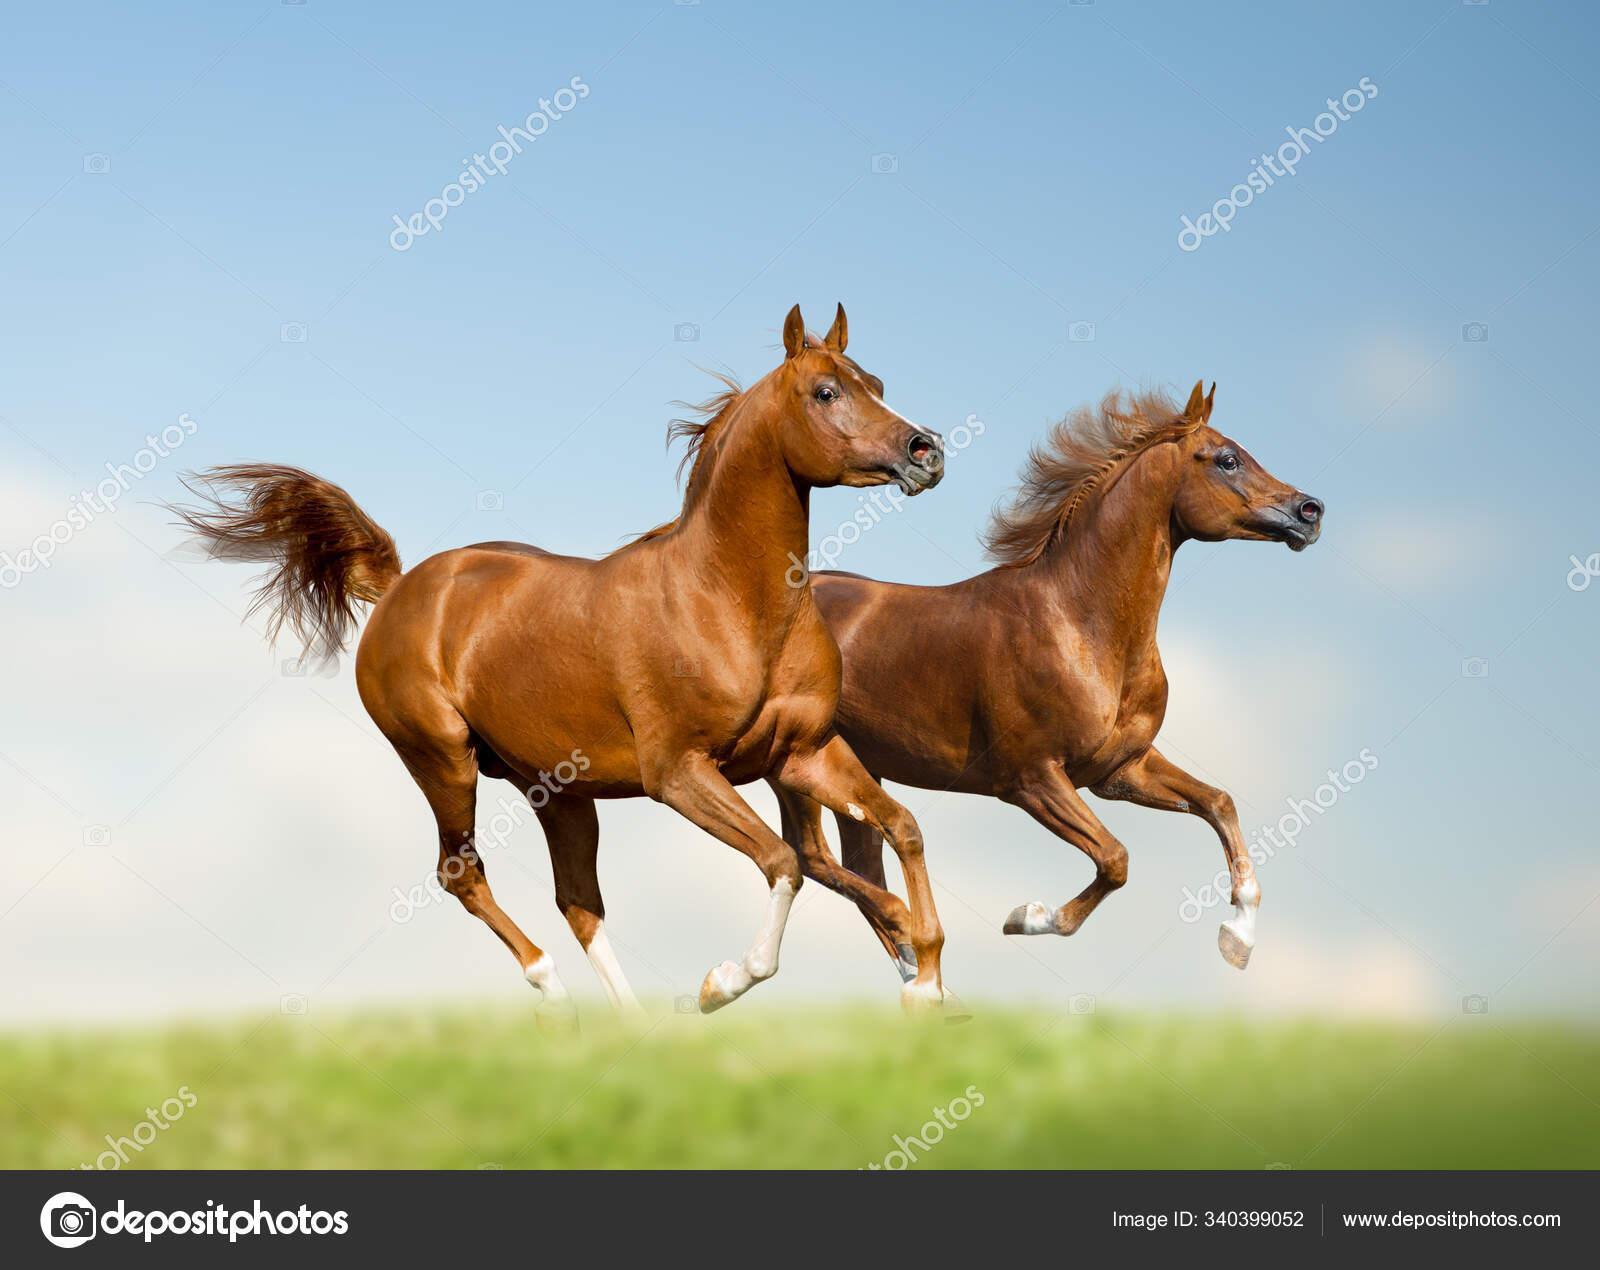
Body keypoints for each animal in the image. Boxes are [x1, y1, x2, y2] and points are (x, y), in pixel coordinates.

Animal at [172, 304, 955, 1030]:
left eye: (877, 383)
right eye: (826, 391)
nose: (927, 451)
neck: (726, 599)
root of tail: (398, 589)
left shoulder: (803, 752)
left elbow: (902, 828)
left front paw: (925, 980)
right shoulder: (679, 773)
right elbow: (783, 863)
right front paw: (721, 984)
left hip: (558, 791)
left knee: (579, 901)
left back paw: (633, 1030)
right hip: (442, 761)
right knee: (463, 875)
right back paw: (552, 991)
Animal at [775, 380, 1324, 978]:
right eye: (1226, 459)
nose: (1310, 510)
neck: (1079, 624)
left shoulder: (1120, 770)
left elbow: (1218, 803)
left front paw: (1237, 938)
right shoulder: (1032, 780)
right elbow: (1115, 858)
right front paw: (1028, 917)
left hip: (856, 771)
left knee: (857, 865)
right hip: (801, 766)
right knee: (818, 858)